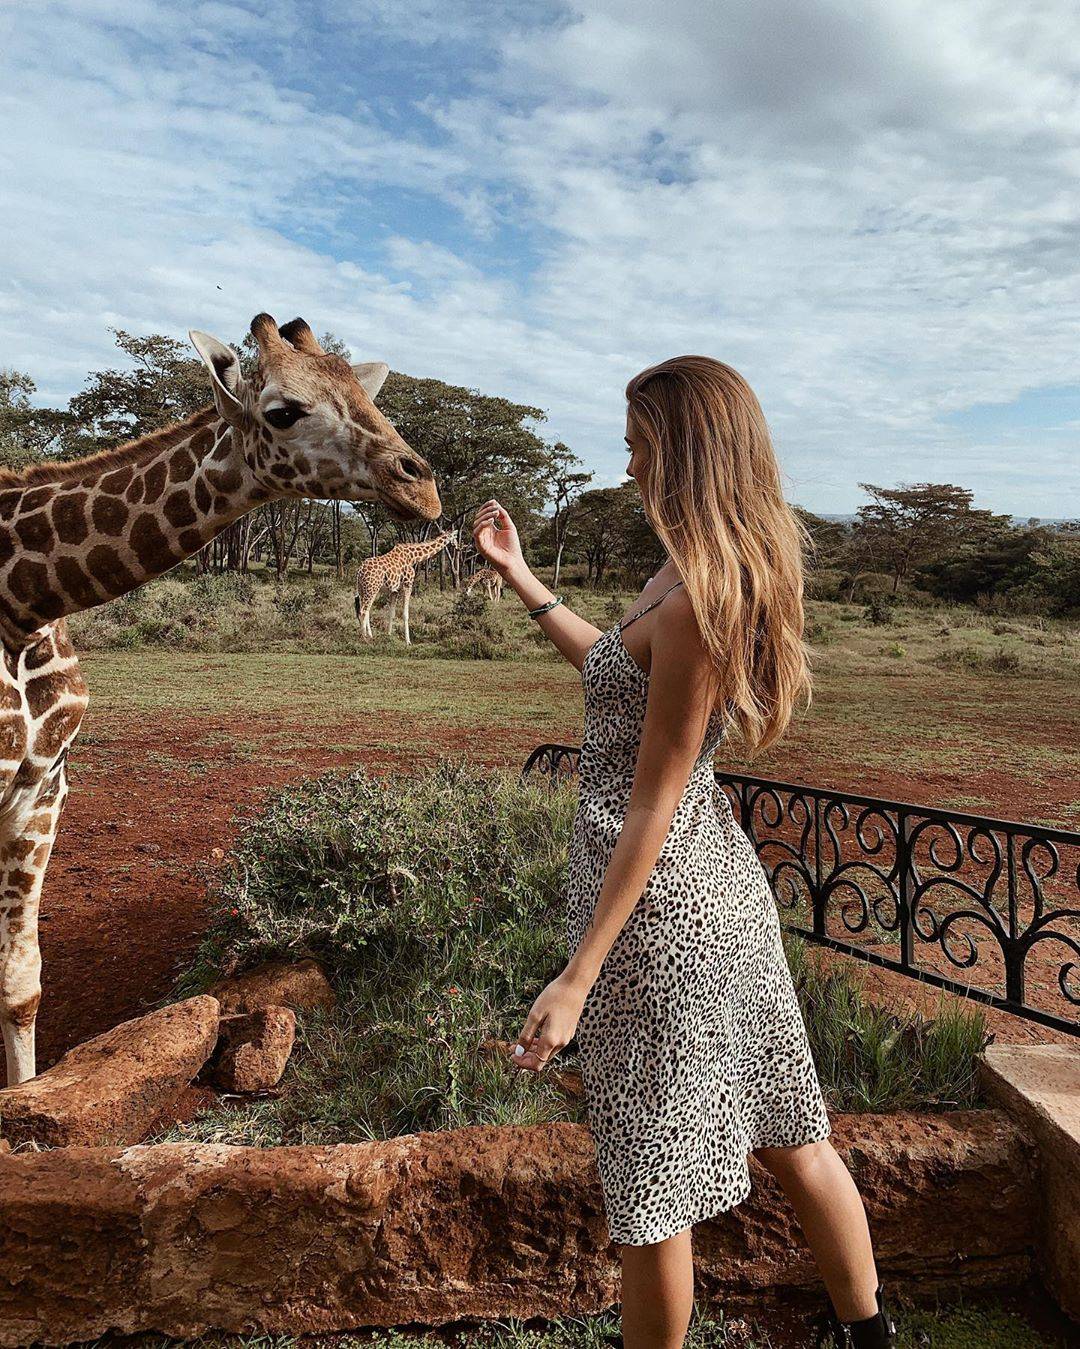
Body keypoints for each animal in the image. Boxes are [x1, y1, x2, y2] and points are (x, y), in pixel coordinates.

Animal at [0, 312, 441, 1085]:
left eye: (366, 392)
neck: (21, 601)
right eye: (284, 411)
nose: (424, 490)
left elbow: (21, 986)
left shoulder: (42, 786)